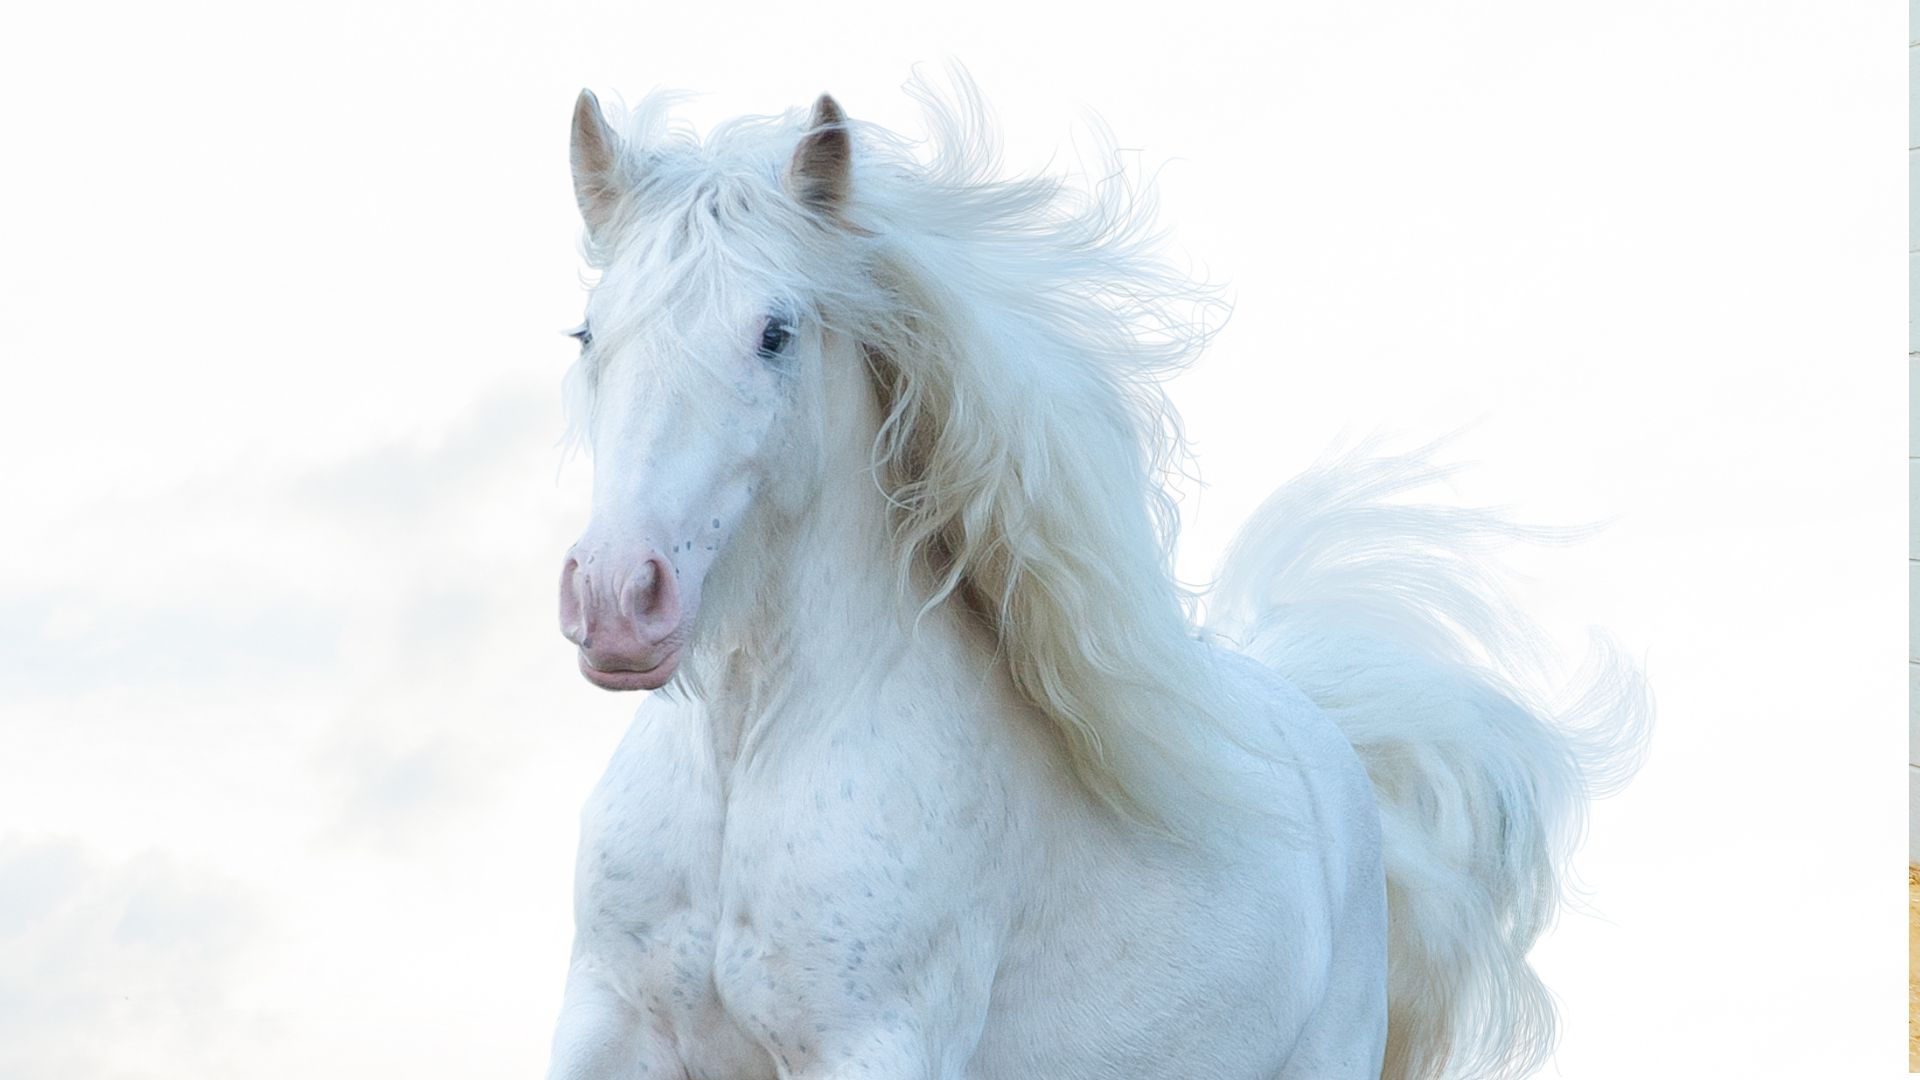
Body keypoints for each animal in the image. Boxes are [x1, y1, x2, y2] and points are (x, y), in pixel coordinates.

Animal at [544, 74, 1647, 1080]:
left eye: (775, 332)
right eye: (589, 332)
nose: (616, 599)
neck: (746, 759)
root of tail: (1324, 734)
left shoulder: (875, 1047)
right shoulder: (608, 1028)